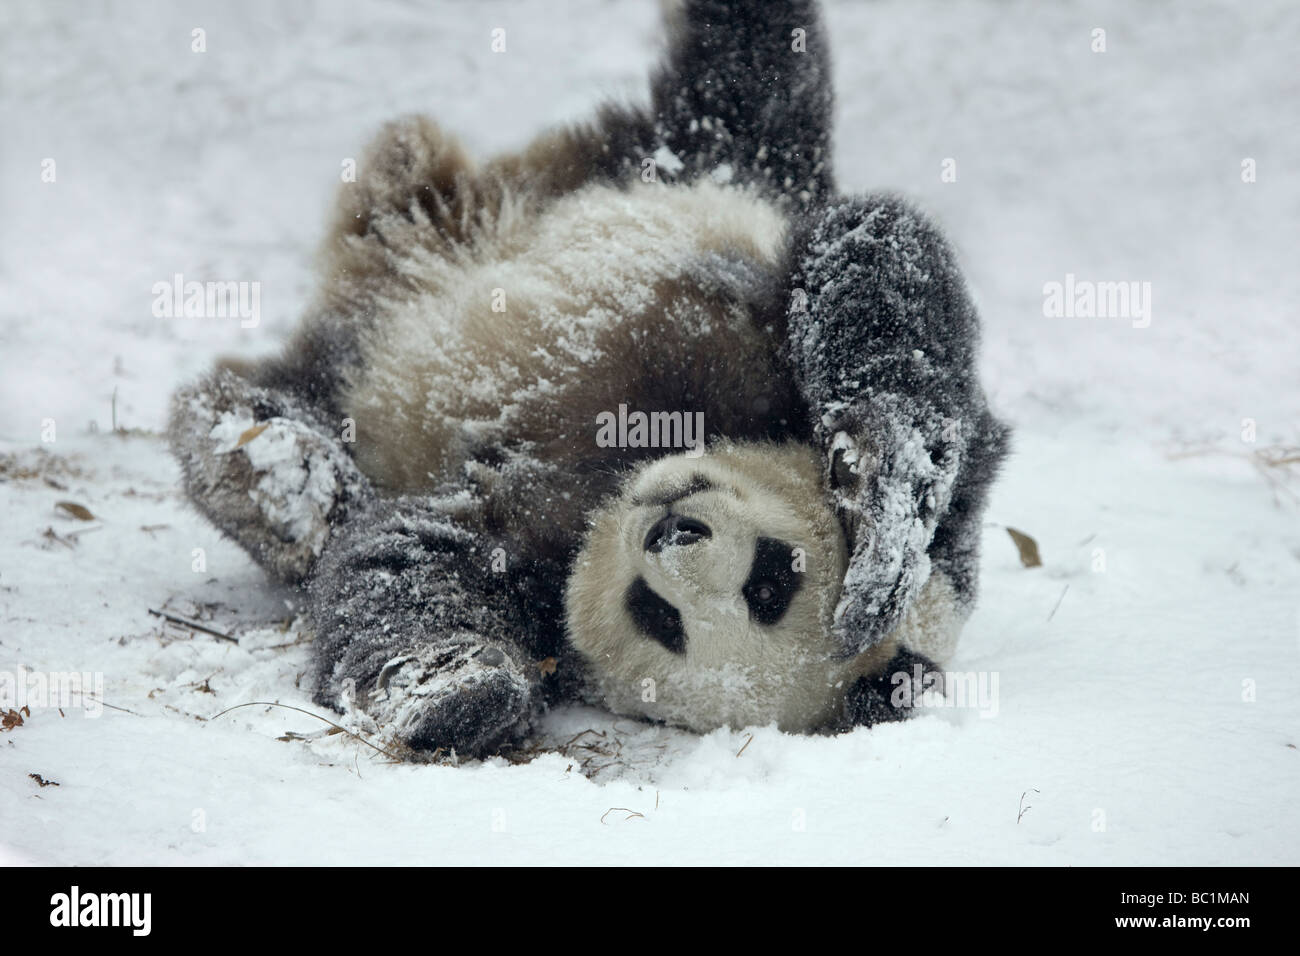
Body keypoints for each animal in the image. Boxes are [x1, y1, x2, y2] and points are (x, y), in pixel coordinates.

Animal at [168, 0, 1009, 758]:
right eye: (777, 576)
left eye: (667, 617)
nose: (673, 531)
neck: (621, 476)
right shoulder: (758, 365)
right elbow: (872, 271)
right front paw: (883, 502)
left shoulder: (541, 562)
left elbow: (405, 562)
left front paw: (463, 695)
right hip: (692, 157)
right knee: (753, 66)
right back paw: (294, 478)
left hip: (339, 375)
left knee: (246, 419)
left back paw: (282, 473)